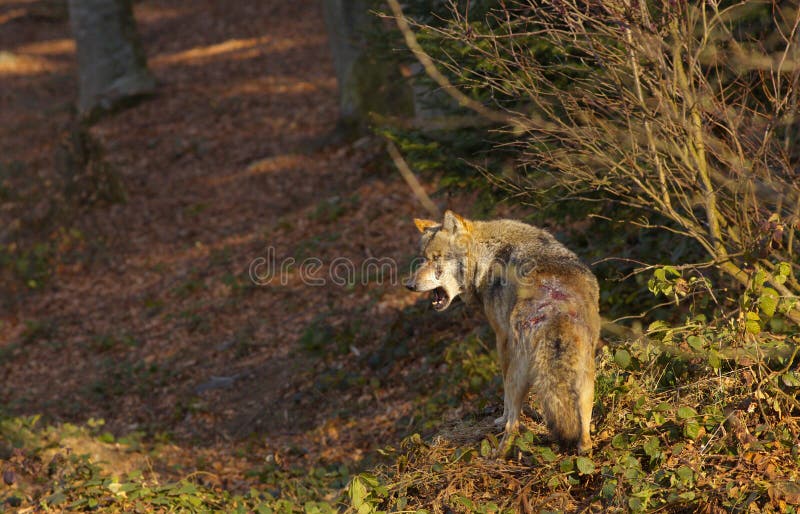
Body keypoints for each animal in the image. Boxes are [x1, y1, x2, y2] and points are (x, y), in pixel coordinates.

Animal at [404, 211, 600, 454]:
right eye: (422, 258)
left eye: (436, 258)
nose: (409, 285)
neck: (486, 256)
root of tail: (556, 311)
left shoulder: (501, 339)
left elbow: (504, 395)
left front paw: (499, 419)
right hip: (585, 379)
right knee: (584, 430)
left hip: (520, 370)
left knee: (513, 424)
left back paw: (497, 454)